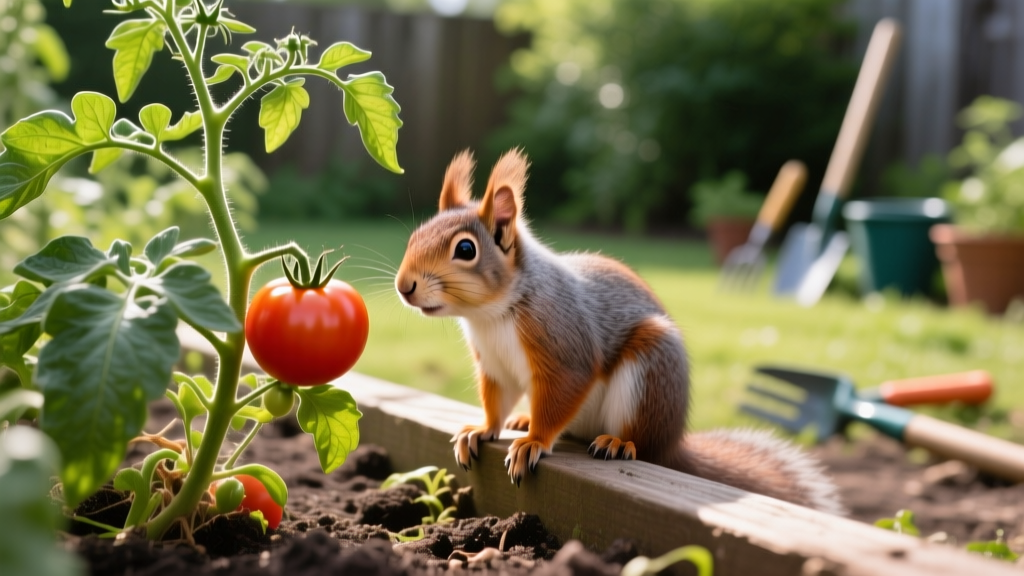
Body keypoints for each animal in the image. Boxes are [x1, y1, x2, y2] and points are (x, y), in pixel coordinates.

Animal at [395, 148, 843, 514]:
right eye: (414, 236)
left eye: (465, 249)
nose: (404, 286)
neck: (491, 316)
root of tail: (674, 443)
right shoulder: (494, 366)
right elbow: (495, 402)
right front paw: (481, 430)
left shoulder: (564, 346)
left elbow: (562, 393)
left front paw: (534, 442)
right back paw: (523, 418)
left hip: (649, 371)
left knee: (640, 441)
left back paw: (617, 443)